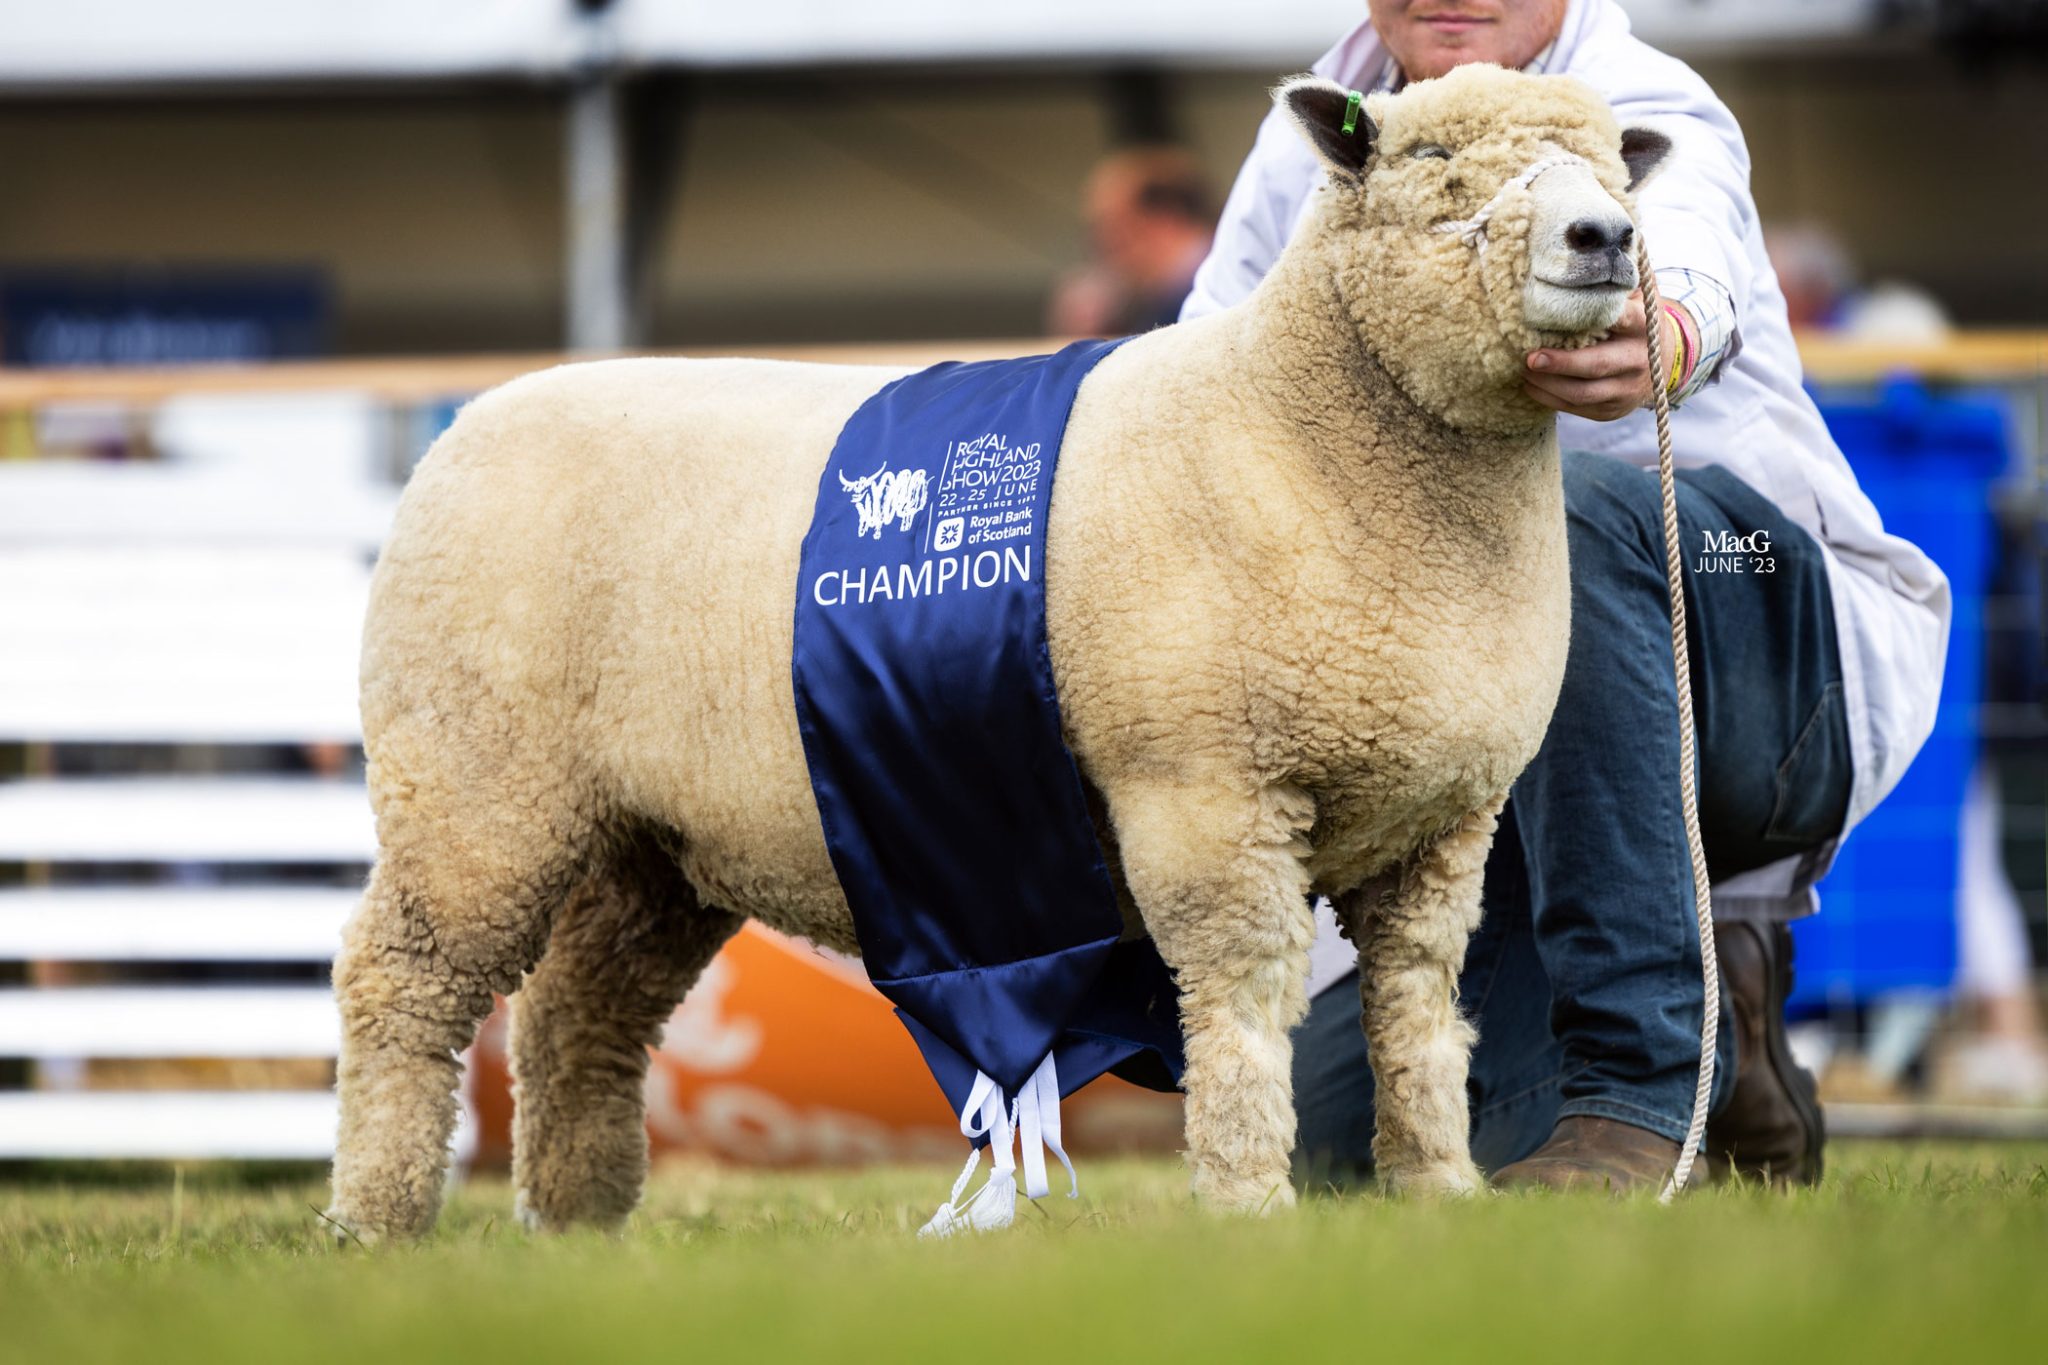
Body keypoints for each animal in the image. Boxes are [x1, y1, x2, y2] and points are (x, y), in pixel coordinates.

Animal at [325, 63, 1671, 1240]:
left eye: (1617, 164)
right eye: (1431, 161)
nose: (1603, 236)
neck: (1302, 429)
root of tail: (471, 419)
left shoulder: (1439, 823)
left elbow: (1417, 1012)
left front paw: (1437, 1192)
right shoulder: (1206, 791)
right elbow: (1240, 997)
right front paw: (1249, 1201)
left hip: (646, 836)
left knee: (575, 1016)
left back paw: (578, 1221)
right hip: (474, 783)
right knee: (401, 983)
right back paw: (375, 1219)